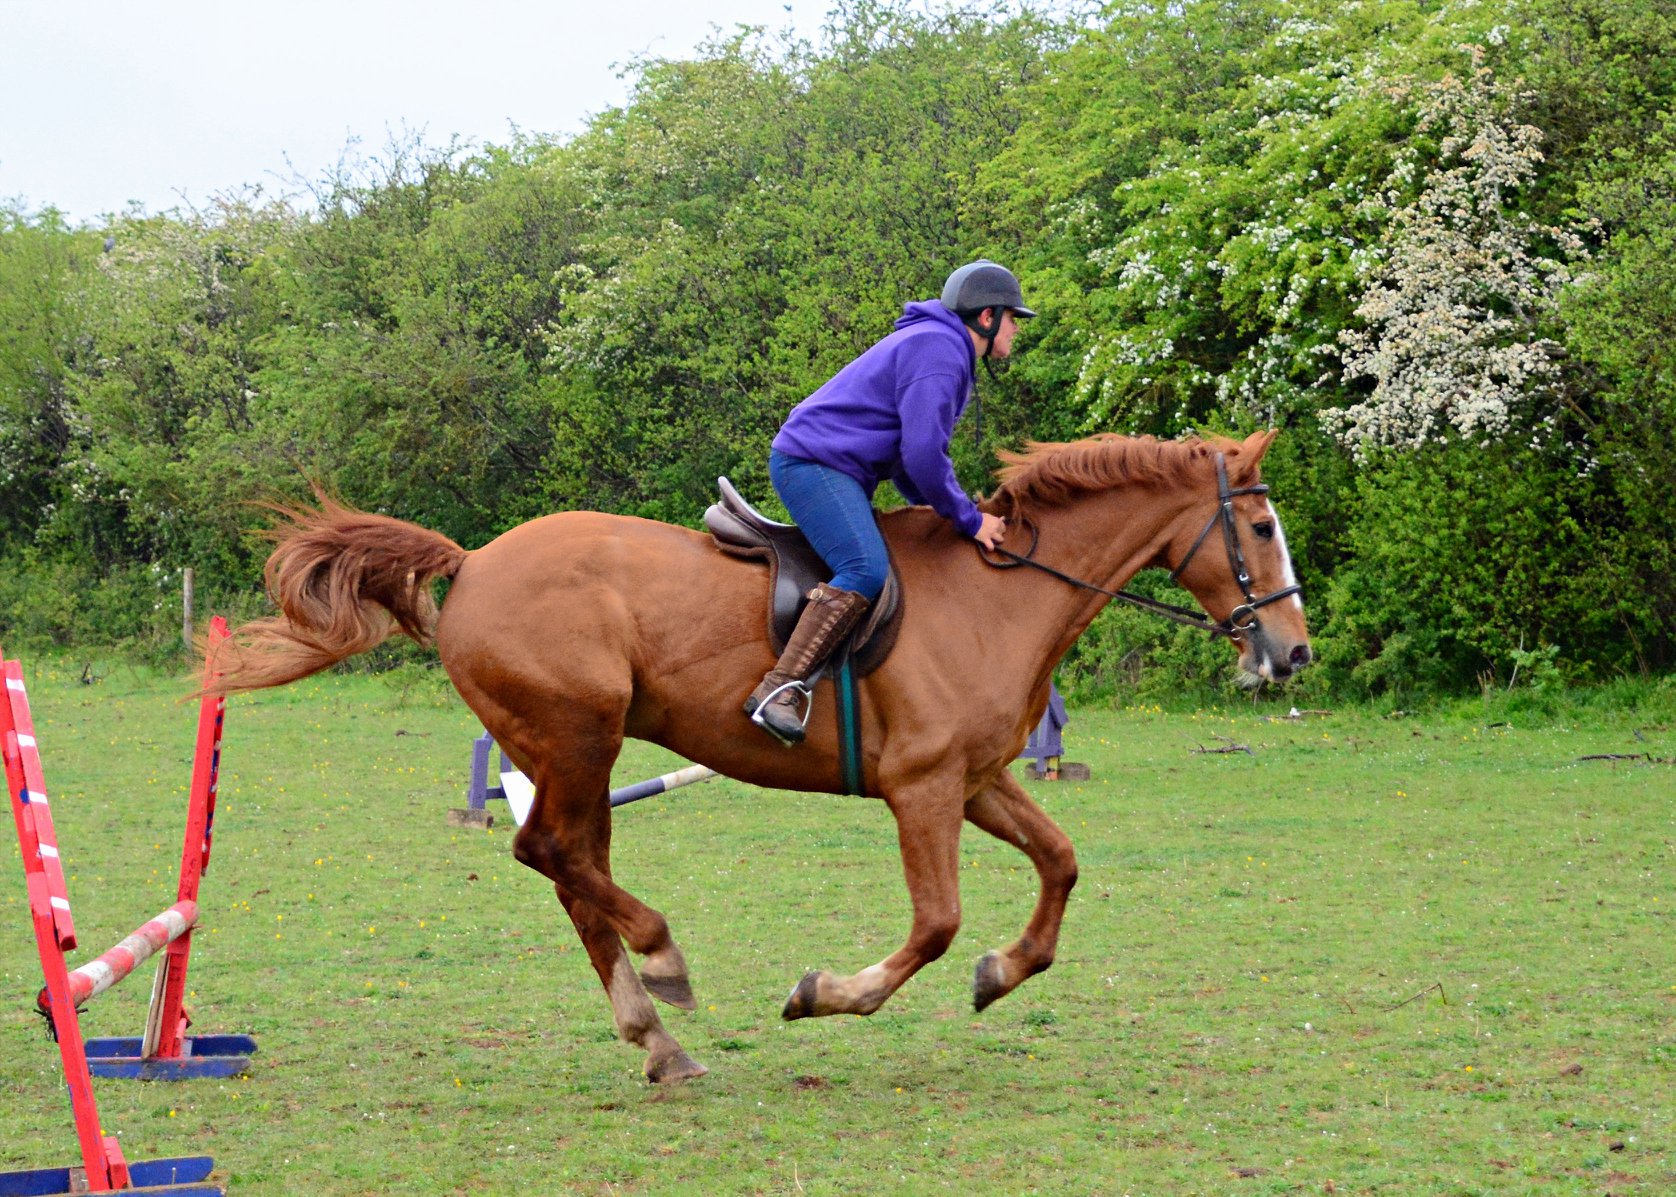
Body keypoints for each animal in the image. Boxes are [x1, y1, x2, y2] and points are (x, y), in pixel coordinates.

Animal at [211, 429, 1310, 1082]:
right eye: (1259, 525)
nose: (1292, 652)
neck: (1002, 591)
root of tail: (473, 561)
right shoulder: (921, 789)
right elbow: (936, 922)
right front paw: (827, 994)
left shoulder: (976, 780)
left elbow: (1059, 864)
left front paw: (1002, 973)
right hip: (576, 737)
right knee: (551, 855)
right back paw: (664, 963)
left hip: (577, 754)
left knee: (573, 873)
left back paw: (657, 1041)